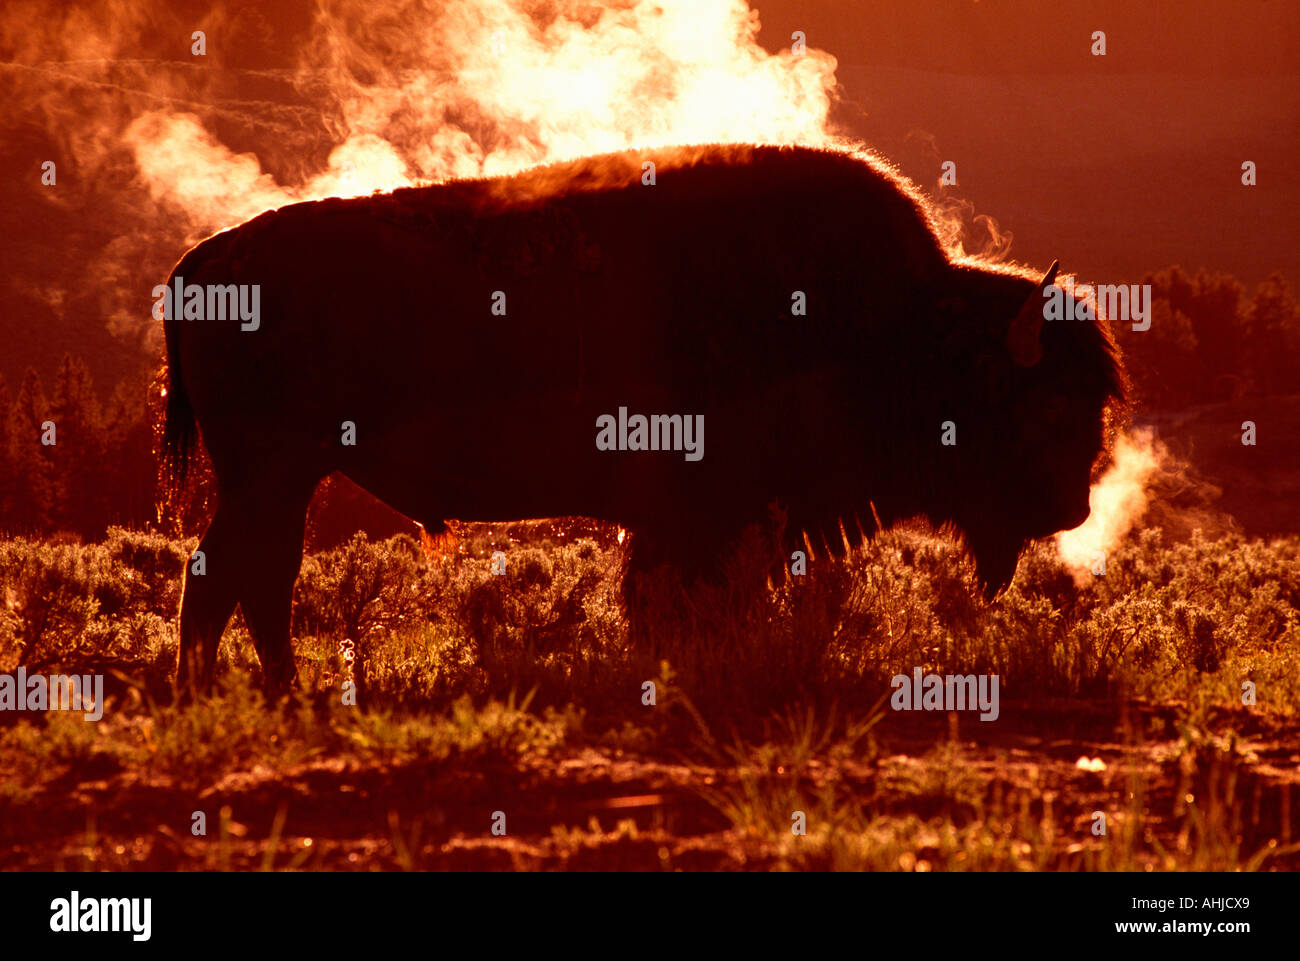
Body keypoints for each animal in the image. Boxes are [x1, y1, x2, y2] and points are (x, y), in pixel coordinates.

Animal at [160, 143, 1126, 694]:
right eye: (1048, 403)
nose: (1073, 507)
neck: (901, 327)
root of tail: (211, 257)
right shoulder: (709, 514)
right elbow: (681, 596)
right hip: (273, 473)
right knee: (238, 576)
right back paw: (246, 692)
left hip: (283, 478)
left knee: (251, 576)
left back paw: (267, 689)